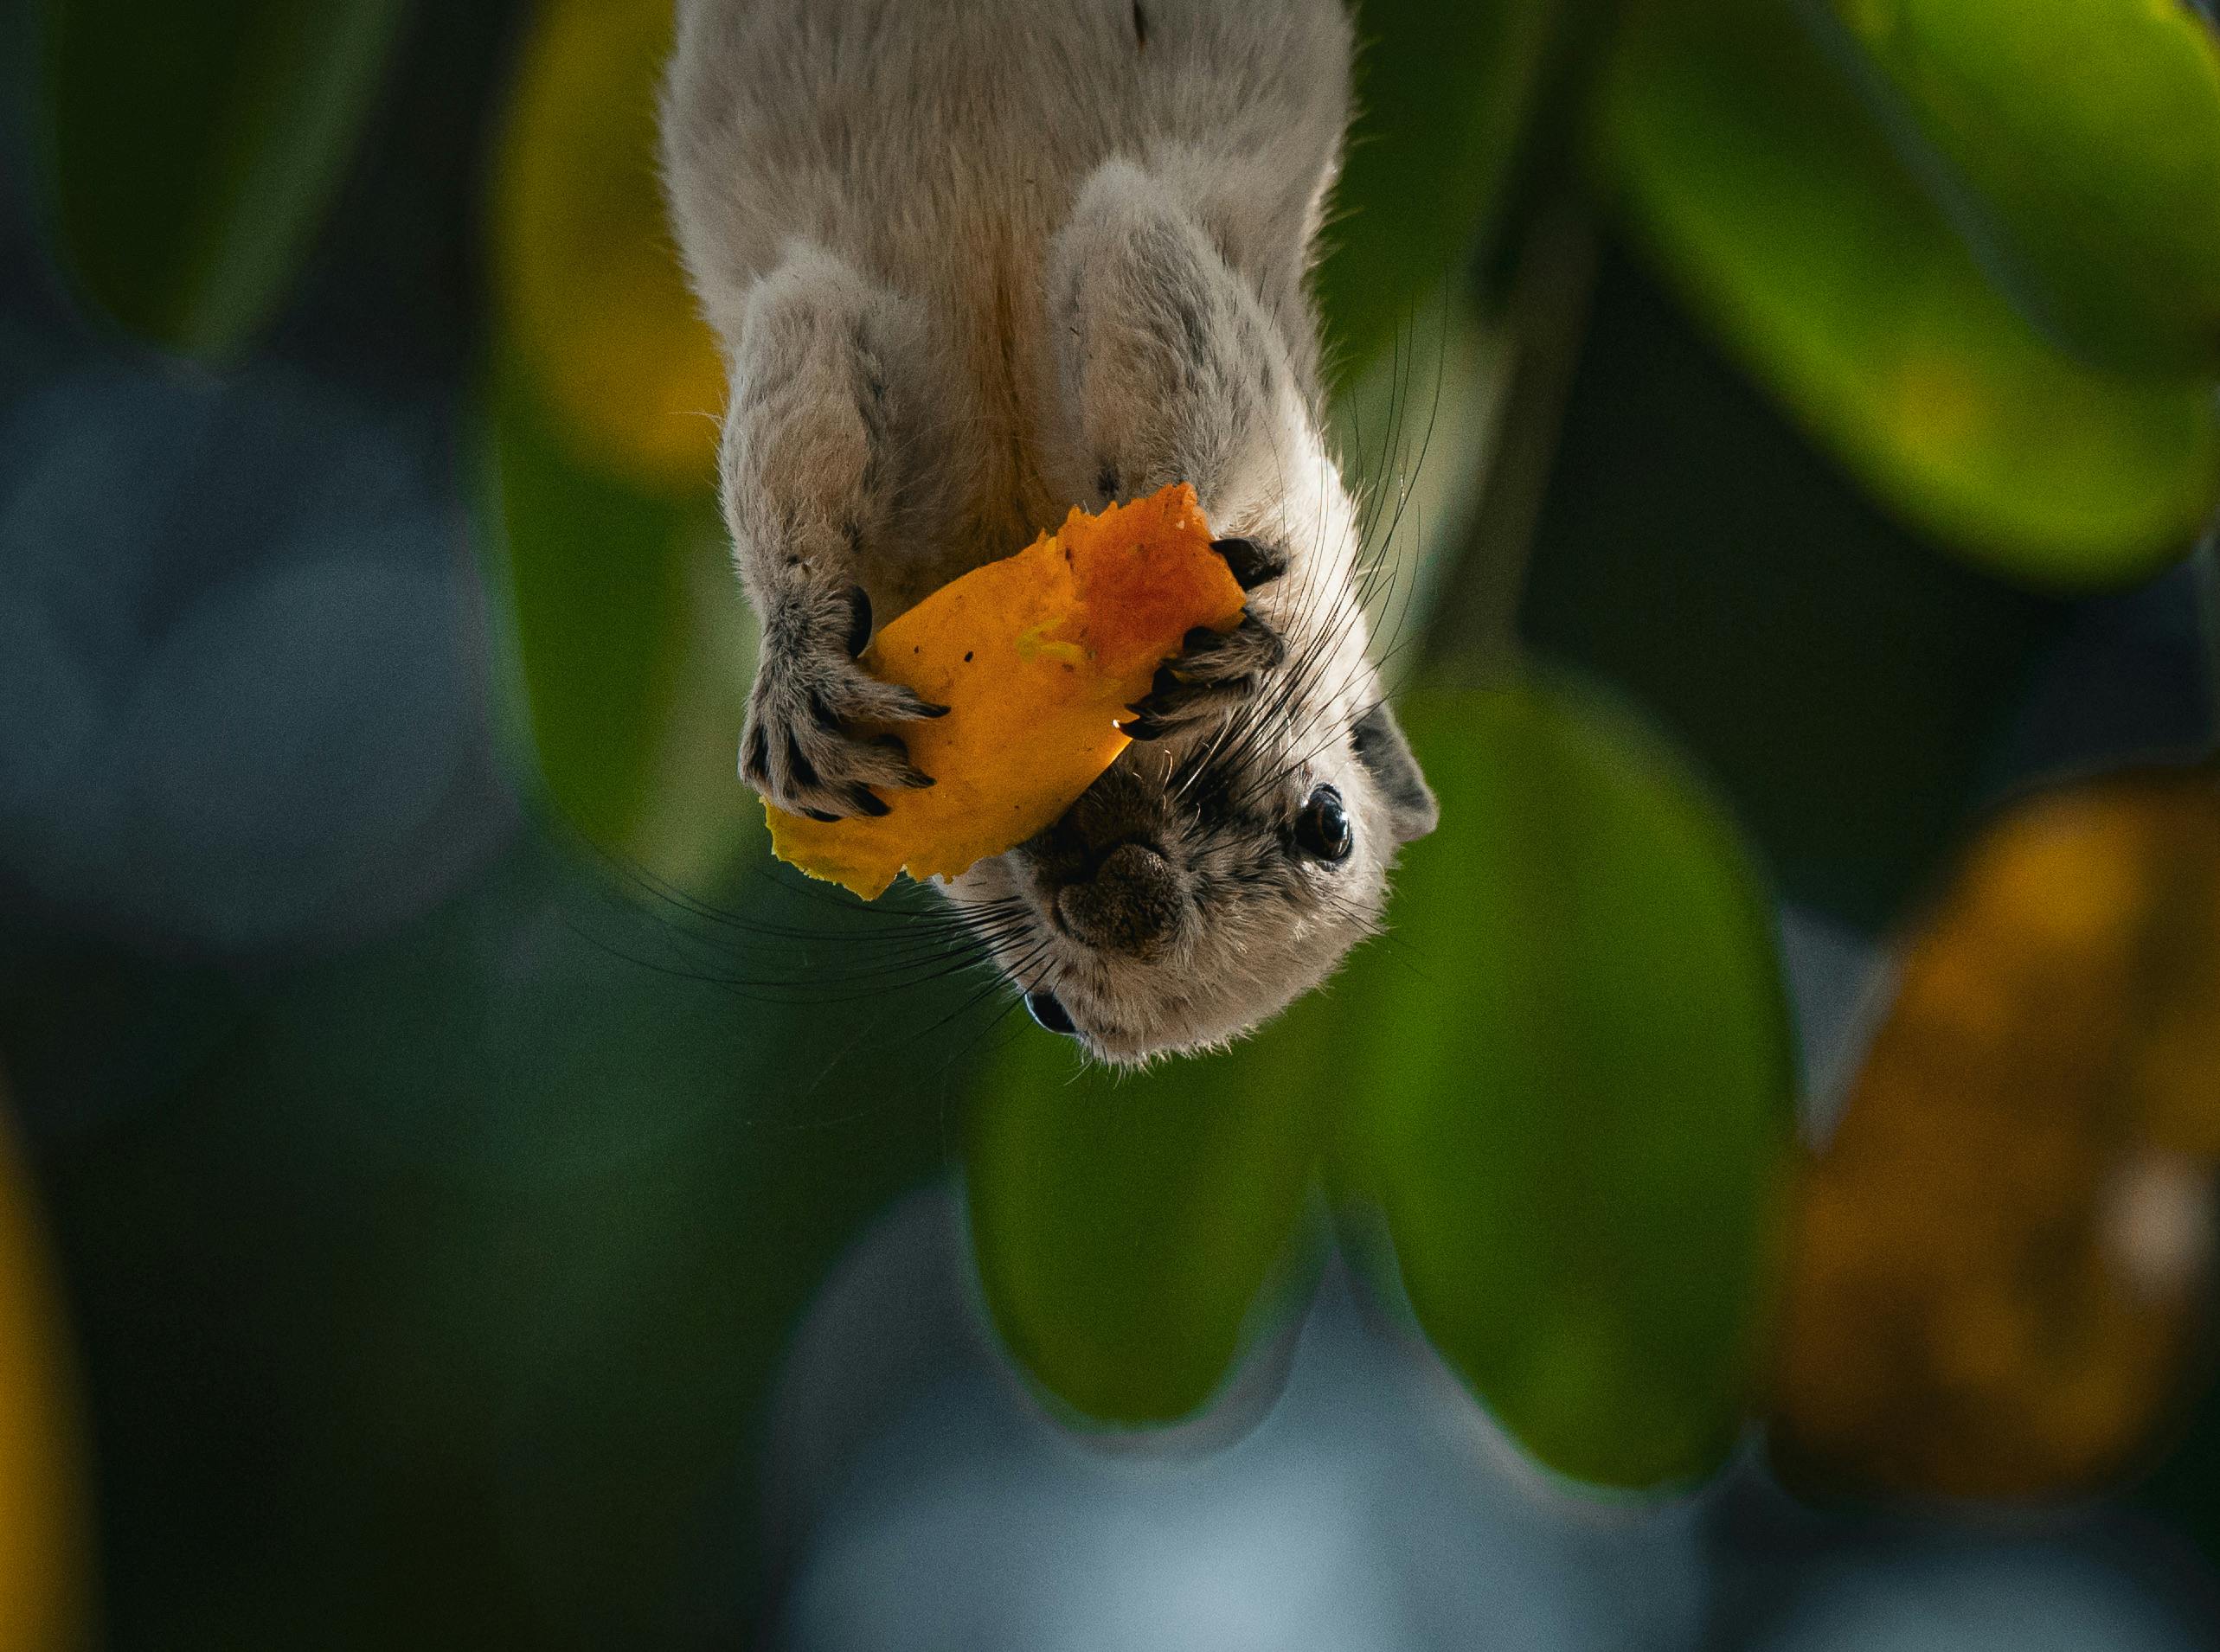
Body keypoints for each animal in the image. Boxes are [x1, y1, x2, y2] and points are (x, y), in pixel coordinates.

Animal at [660, 0, 1436, 1061]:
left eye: (1050, 1011)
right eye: (1332, 826)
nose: (1123, 901)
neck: (1027, 518)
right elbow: (796, 413)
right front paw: (798, 684)